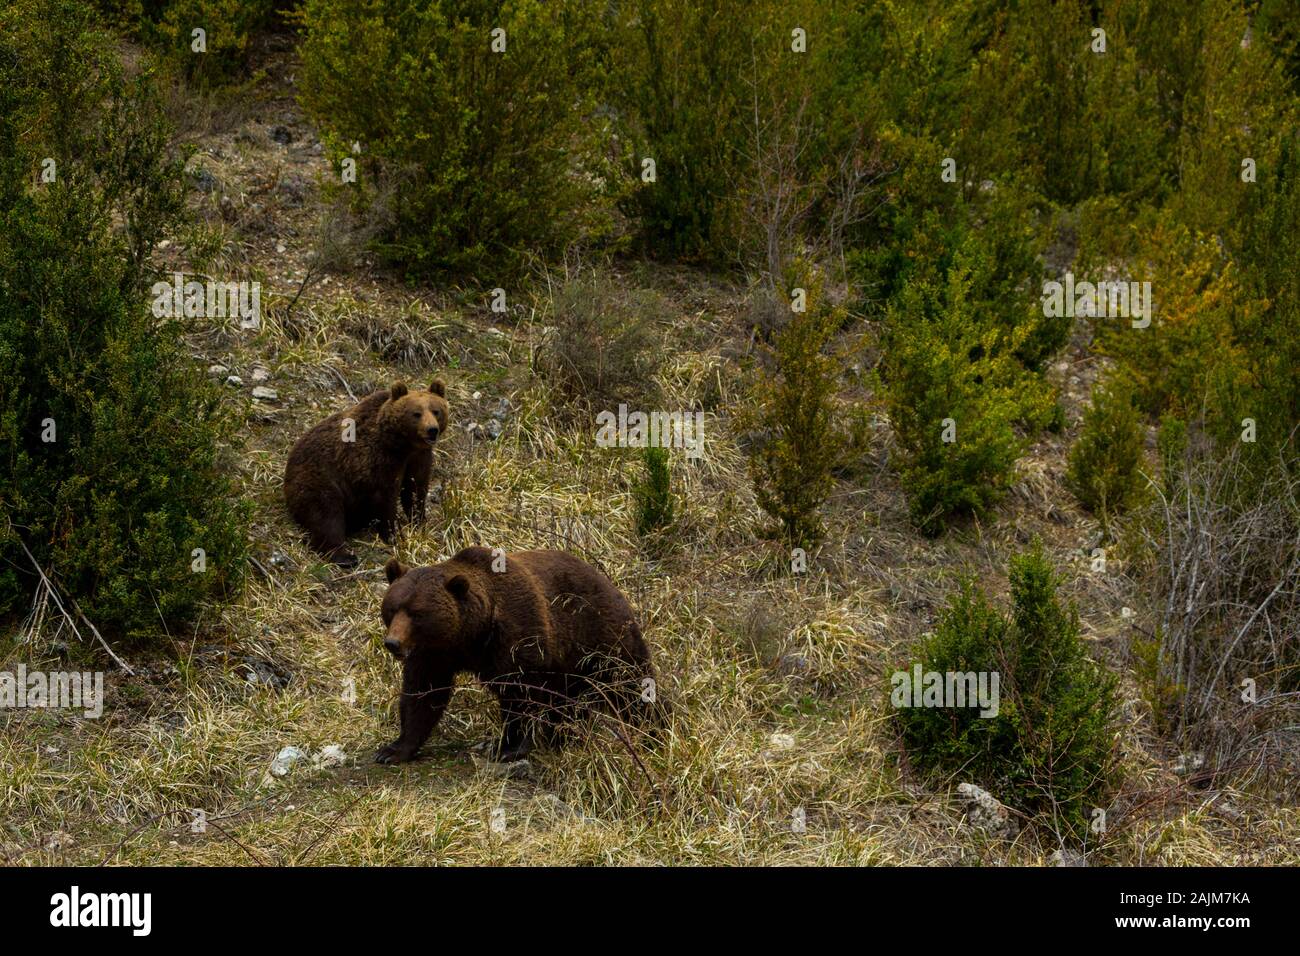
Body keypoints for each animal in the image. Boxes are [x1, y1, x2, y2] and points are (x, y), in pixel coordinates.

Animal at [283, 380, 449, 567]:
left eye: (436, 411)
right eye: (416, 413)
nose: (432, 430)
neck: (403, 445)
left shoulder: (418, 458)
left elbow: (415, 490)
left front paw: (419, 523)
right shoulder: (377, 460)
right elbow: (385, 497)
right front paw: (393, 534)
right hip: (318, 479)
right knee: (326, 516)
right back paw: (345, 556)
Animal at [375, 546, 657, 764]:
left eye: (418, 613)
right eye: (392, 608)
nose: (393, 643)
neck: (471, 634)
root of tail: (608, 581)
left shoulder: (516, 636)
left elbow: (519, 693)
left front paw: (509, 748)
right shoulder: (434, 654)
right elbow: (422, 694)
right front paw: (392, 750)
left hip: (600, 636)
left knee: (630, 684)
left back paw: (654, 730)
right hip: (569, 662)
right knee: (567, 702)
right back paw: (564, 737)